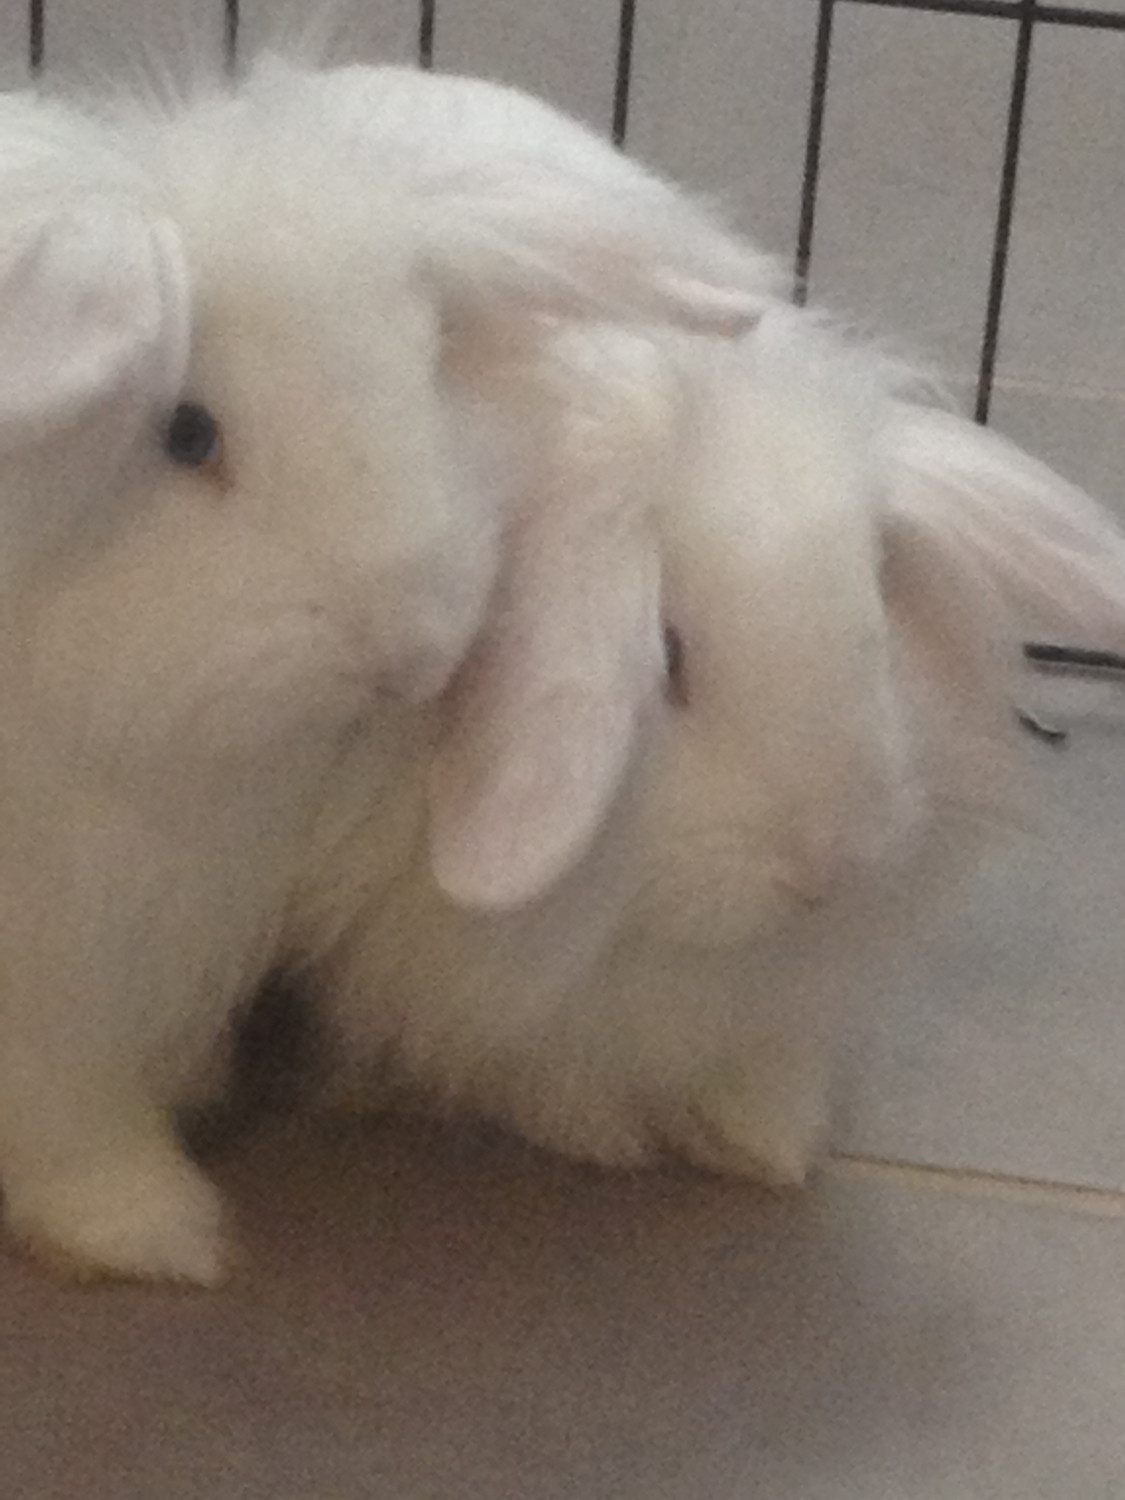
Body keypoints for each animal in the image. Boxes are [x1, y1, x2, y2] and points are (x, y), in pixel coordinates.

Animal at [0, 61, 771, 1285]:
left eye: (423, 369)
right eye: (187, 434)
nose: (413, 650)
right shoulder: (58, 950)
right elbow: (63, 1116)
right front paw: (155, 1236)